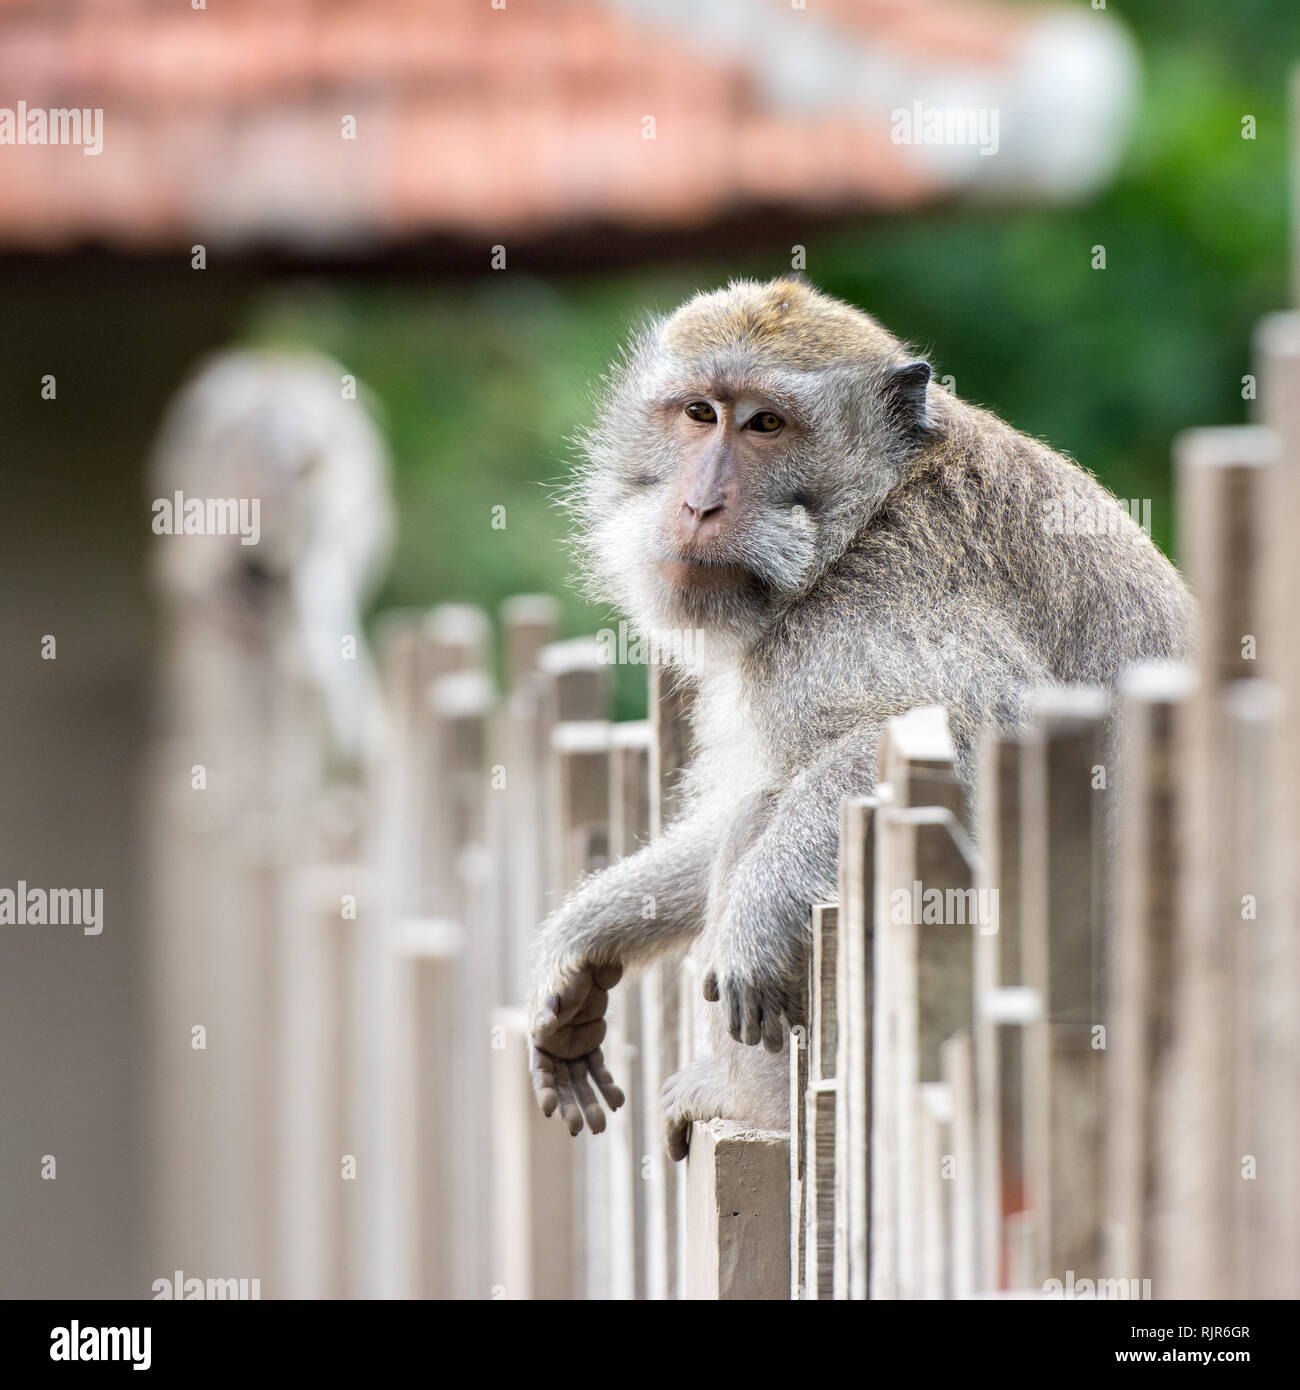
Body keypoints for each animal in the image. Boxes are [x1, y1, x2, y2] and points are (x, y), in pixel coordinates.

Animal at [528, 276, 1194, 1159]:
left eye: (766, 424)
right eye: (700, 413)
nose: (699, 504)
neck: (856, 524)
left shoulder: (882, 598)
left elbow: (972, 732)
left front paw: (755, 916)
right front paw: (587, 936)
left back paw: (753, 1103)